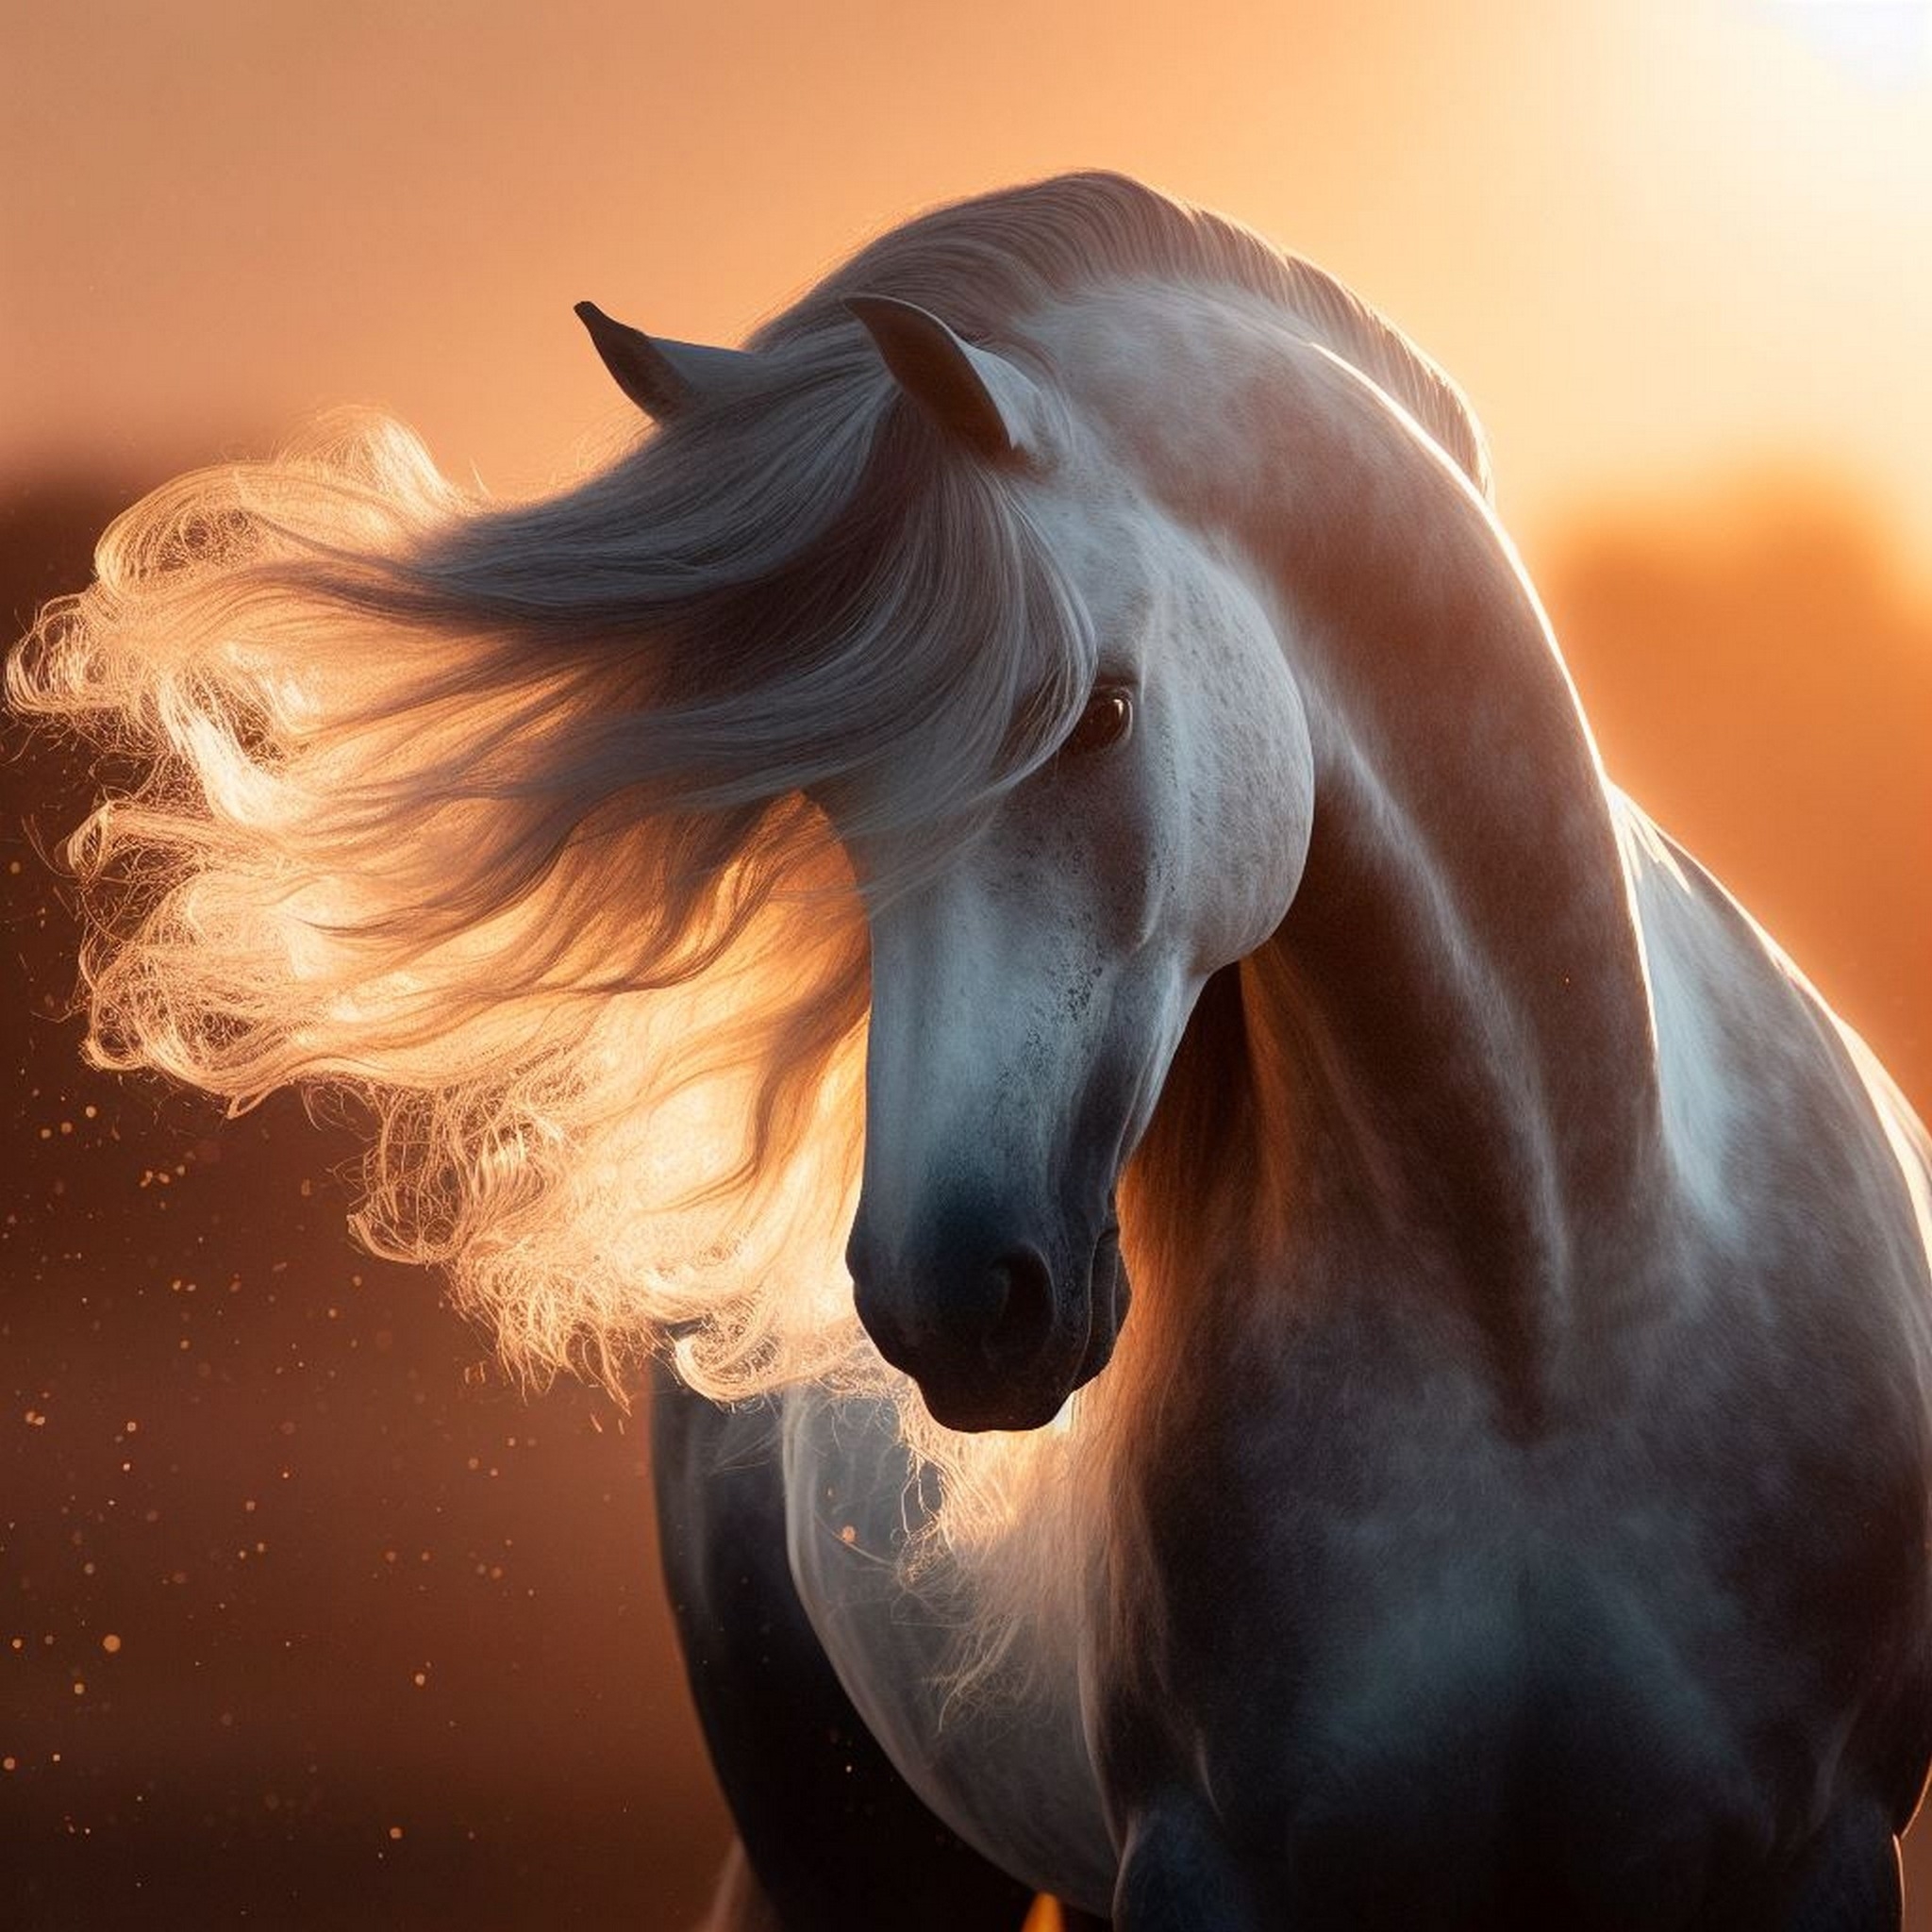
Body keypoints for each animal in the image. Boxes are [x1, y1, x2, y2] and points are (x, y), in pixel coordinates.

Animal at [12, 171, 1932, 1929]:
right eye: (834, 794)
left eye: (1099, 710)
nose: (951, 1298)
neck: (1545, 1313)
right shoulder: (1205, 1871)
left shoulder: (1817, 1856)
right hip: (845, 1840)